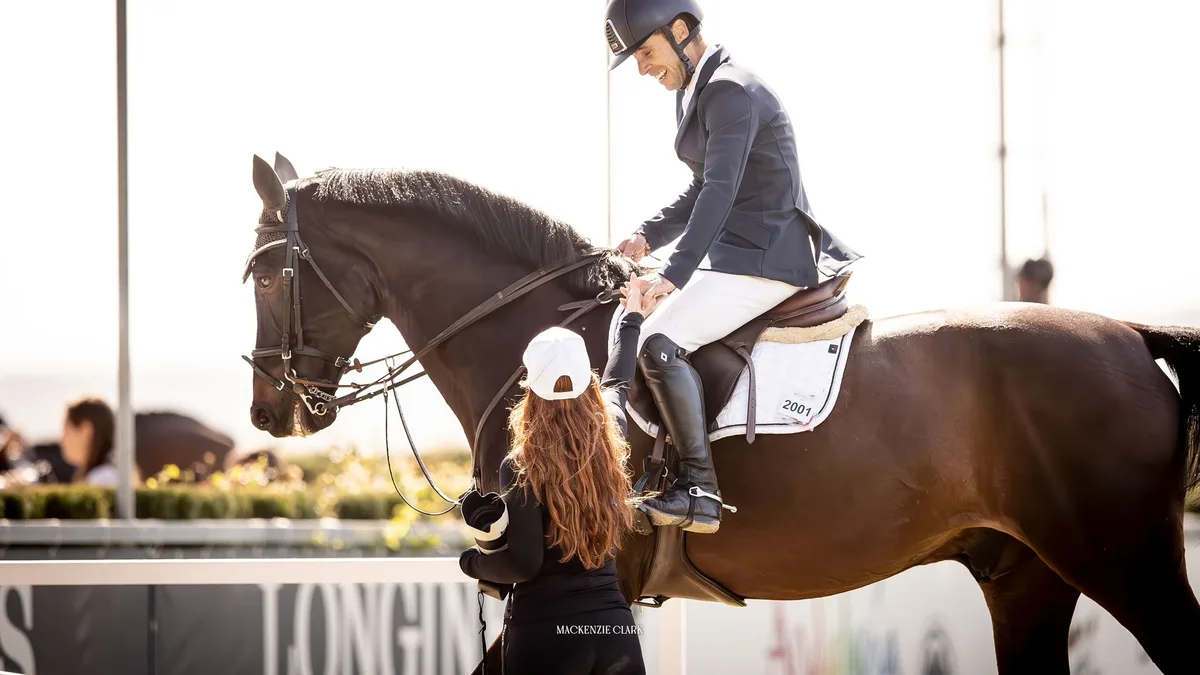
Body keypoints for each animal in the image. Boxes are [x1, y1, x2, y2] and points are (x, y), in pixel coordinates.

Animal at [242, 153, 1200, 674]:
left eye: (261, 275)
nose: (268, 410)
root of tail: (1128, 332)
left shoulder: (576, 582)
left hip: (1121, 560)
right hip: (1025, 575)